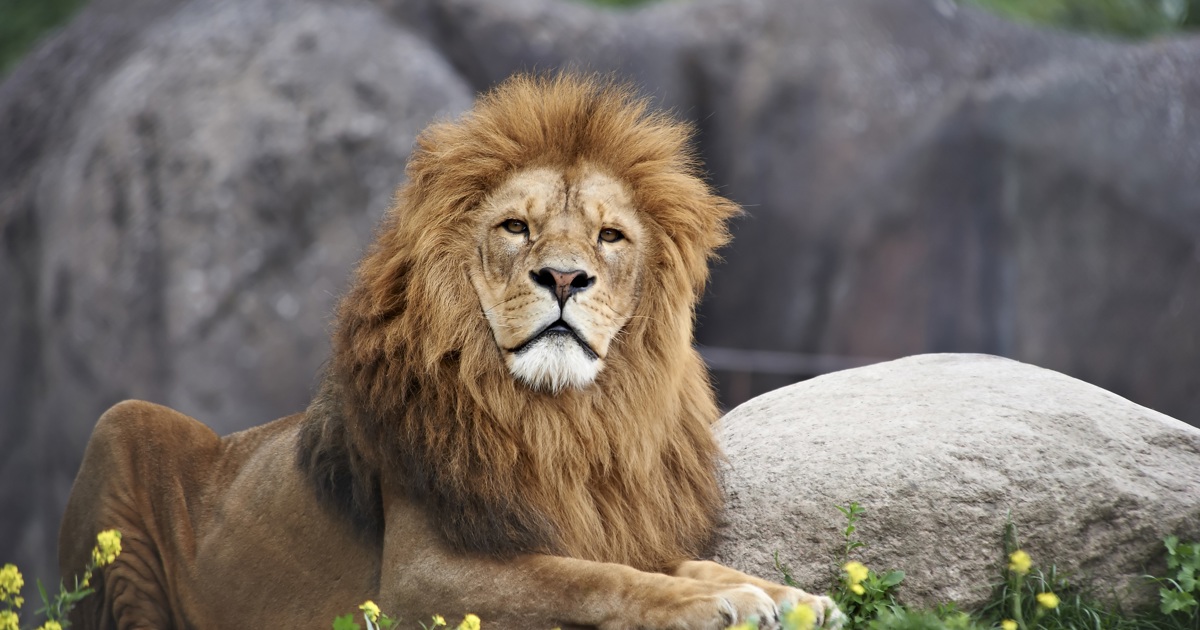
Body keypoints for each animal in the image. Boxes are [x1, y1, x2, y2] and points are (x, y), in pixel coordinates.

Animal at [58, 74, 841, 629]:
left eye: (609, 236)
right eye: (516, 227)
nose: (564, 277)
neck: (562, 424)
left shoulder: (605, 523)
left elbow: (673, 563)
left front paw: (787, 597)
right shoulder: (418, 578)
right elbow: (585, 577)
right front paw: (707, 607)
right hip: (120, 423)